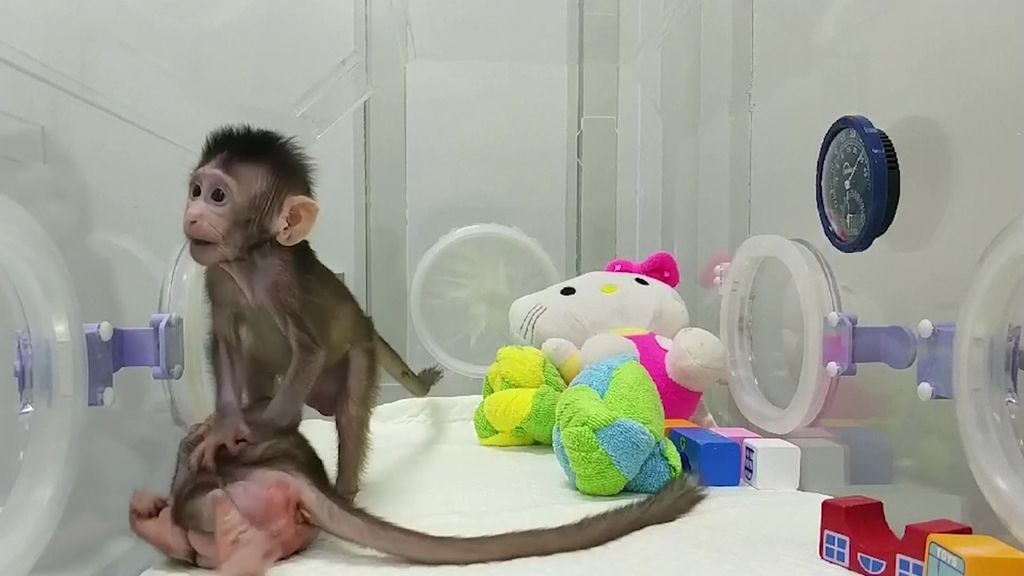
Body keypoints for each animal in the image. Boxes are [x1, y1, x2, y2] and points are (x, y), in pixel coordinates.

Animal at [181, 124, 442, 499]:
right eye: (195, 191)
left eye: (218, 196)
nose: (192, 215)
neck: (250, 263)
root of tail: (366, 322)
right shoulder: (218, 278)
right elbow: (225, 341)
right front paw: (226, 426)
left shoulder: (285, 287)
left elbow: (310, 352)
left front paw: (259, 432)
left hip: (361, 351)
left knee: (350, 413)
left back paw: (344, 491)